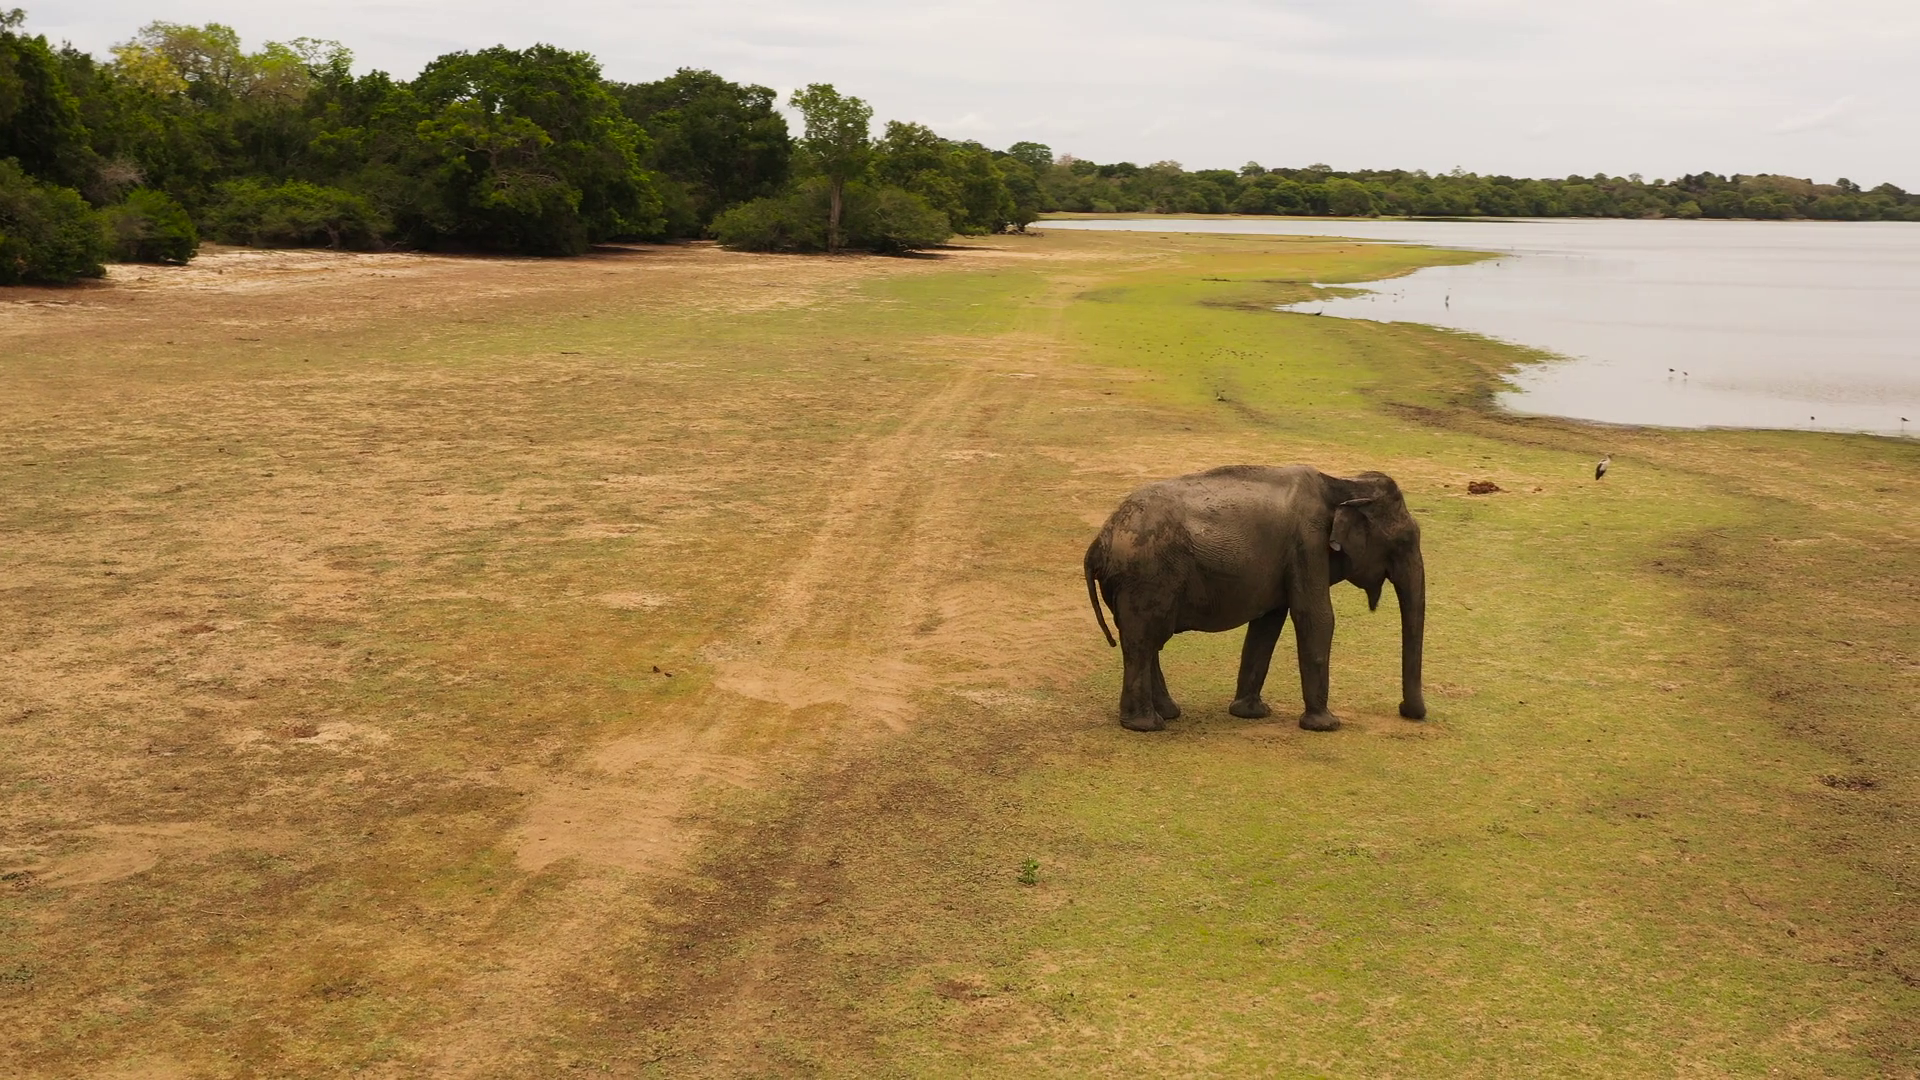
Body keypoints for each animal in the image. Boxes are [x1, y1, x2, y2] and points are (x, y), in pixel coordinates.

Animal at [1083, 465, 1426, 732]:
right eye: (1404, 540)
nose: (1409, 712)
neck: (1344, 482)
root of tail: (1098, 542)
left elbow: (1267, 623)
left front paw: (1251, 714)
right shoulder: (1307, 543)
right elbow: (1316, 617)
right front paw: (1326, 725)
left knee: (1148, 640)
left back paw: (1167, 713)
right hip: (1146, 577)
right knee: (1143, 640)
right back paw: (1147, 725)